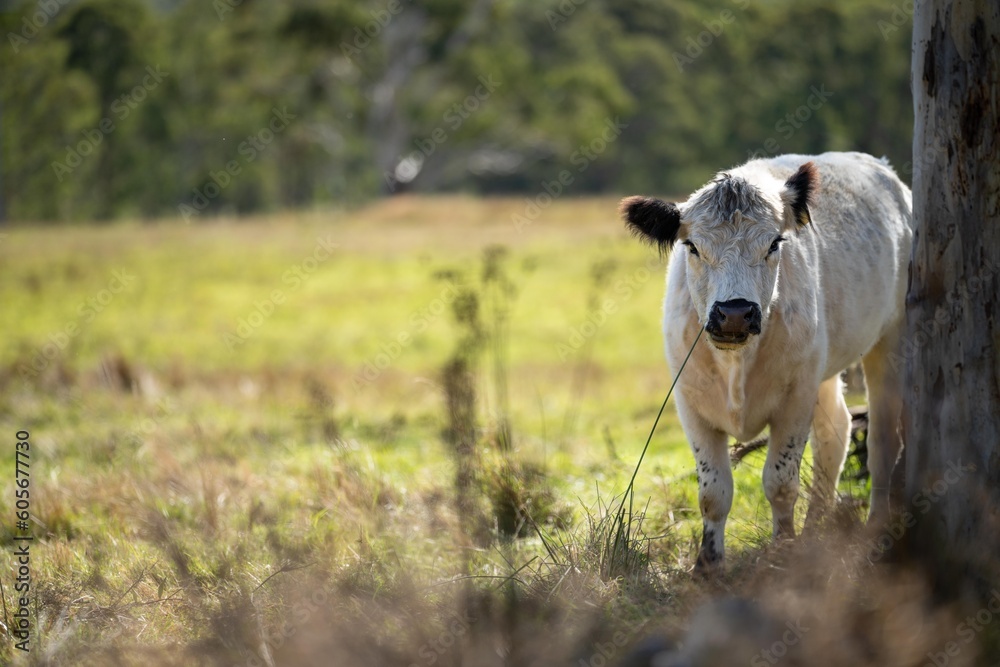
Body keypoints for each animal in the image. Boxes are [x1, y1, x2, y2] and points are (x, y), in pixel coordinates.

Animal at [619, 152, 913, 572]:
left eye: (774, 244)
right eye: (692, 246)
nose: (735, 313)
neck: (736, 365)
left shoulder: (794, 401)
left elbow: (781, 482)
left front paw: (785, 550)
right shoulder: (690, 404)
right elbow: (713, 491)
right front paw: (707, 564)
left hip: (889, 340)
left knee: (882, 440)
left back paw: (874, 526)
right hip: (822, 369)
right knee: (835, 432)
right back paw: (814, 531)